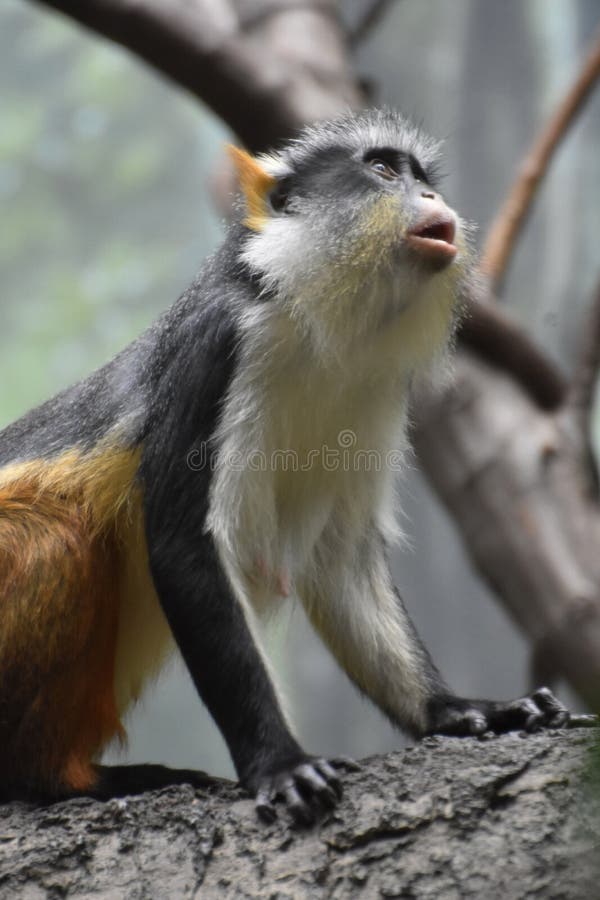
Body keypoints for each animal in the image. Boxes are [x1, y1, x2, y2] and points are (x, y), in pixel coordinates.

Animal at [0, 109, 570, 825]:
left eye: (420, 176)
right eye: (383, 169)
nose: (431, 197)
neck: (309, 319)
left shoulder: (378, 388)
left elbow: (342, 557)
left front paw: (459, 709)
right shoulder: (219, 345)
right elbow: (185, 543)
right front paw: (281, 764)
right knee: (53, 542)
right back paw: (58, 777)